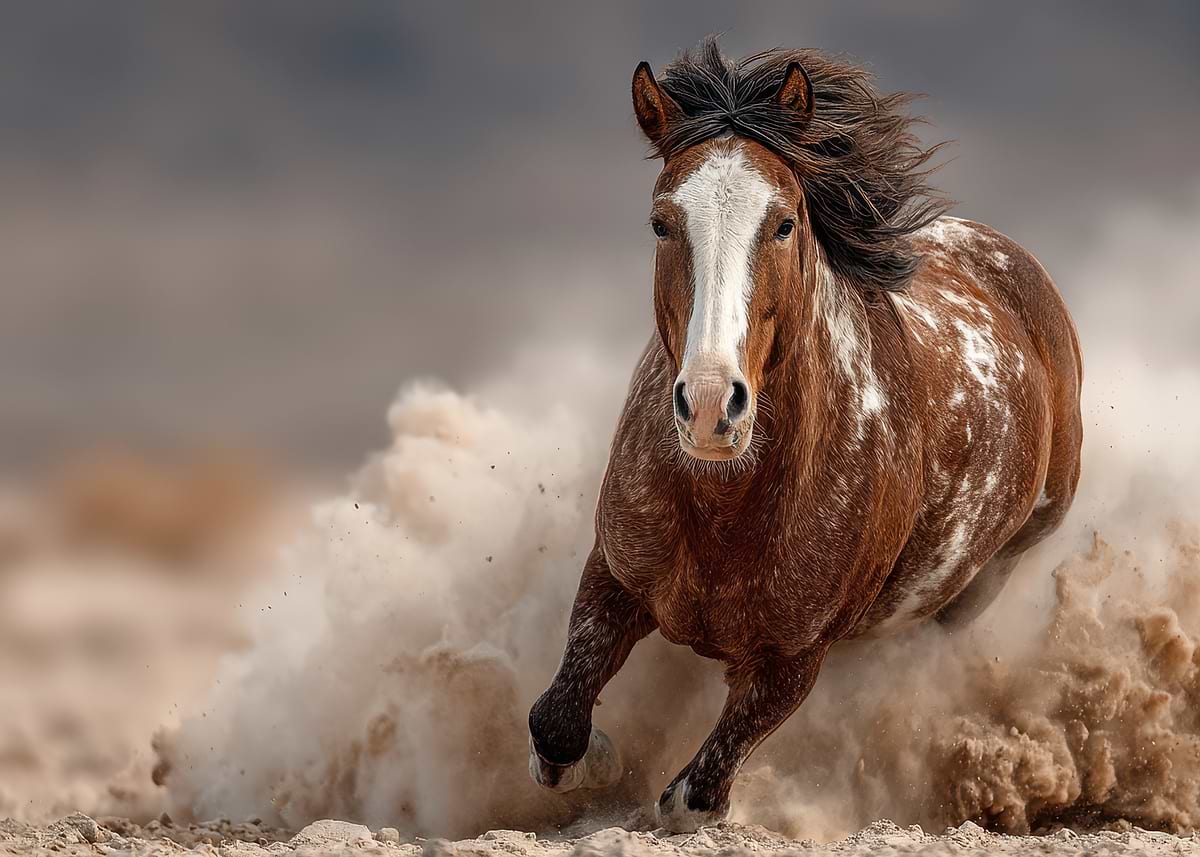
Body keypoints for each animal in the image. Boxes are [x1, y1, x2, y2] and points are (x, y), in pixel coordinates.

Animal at [527, 39, 1083, 833]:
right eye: (662, 222)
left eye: (785, 221)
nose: (710, 406)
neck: (726, 509)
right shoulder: (614, 575)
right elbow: (559, 719)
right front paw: (595, 760)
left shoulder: (794, 657)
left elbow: (696, 792)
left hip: (987, 577)